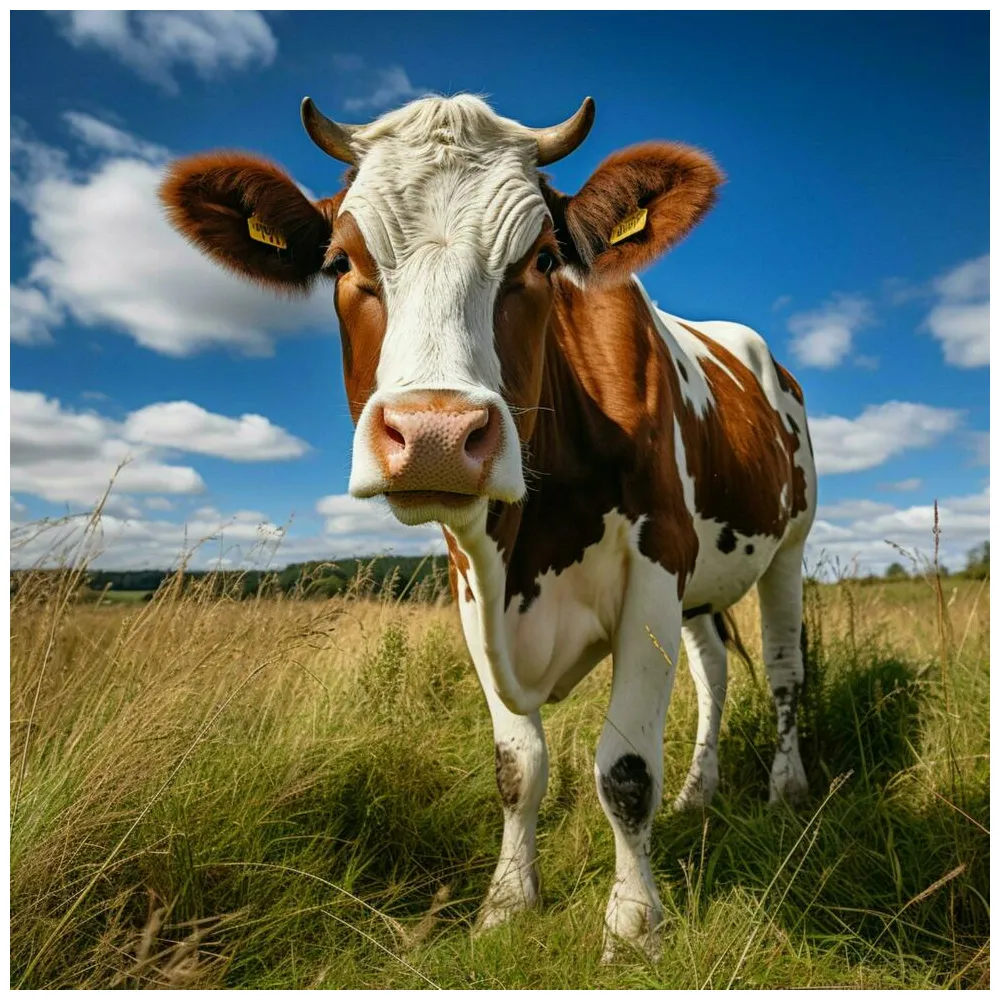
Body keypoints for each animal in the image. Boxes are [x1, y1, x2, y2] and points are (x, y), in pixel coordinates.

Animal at [160, 94, 817, 959]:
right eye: (340, 263)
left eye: (541, 259)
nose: (436, 434)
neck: (533, 531)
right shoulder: (474, 582)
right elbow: (518, 764)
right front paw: (506, 903)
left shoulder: (656, 561)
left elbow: (625, 769)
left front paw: (635, 924)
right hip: (705, 580)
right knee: (714, 674)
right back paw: (699, 793)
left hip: (789, 545)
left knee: (781, 671)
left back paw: (787, 788)